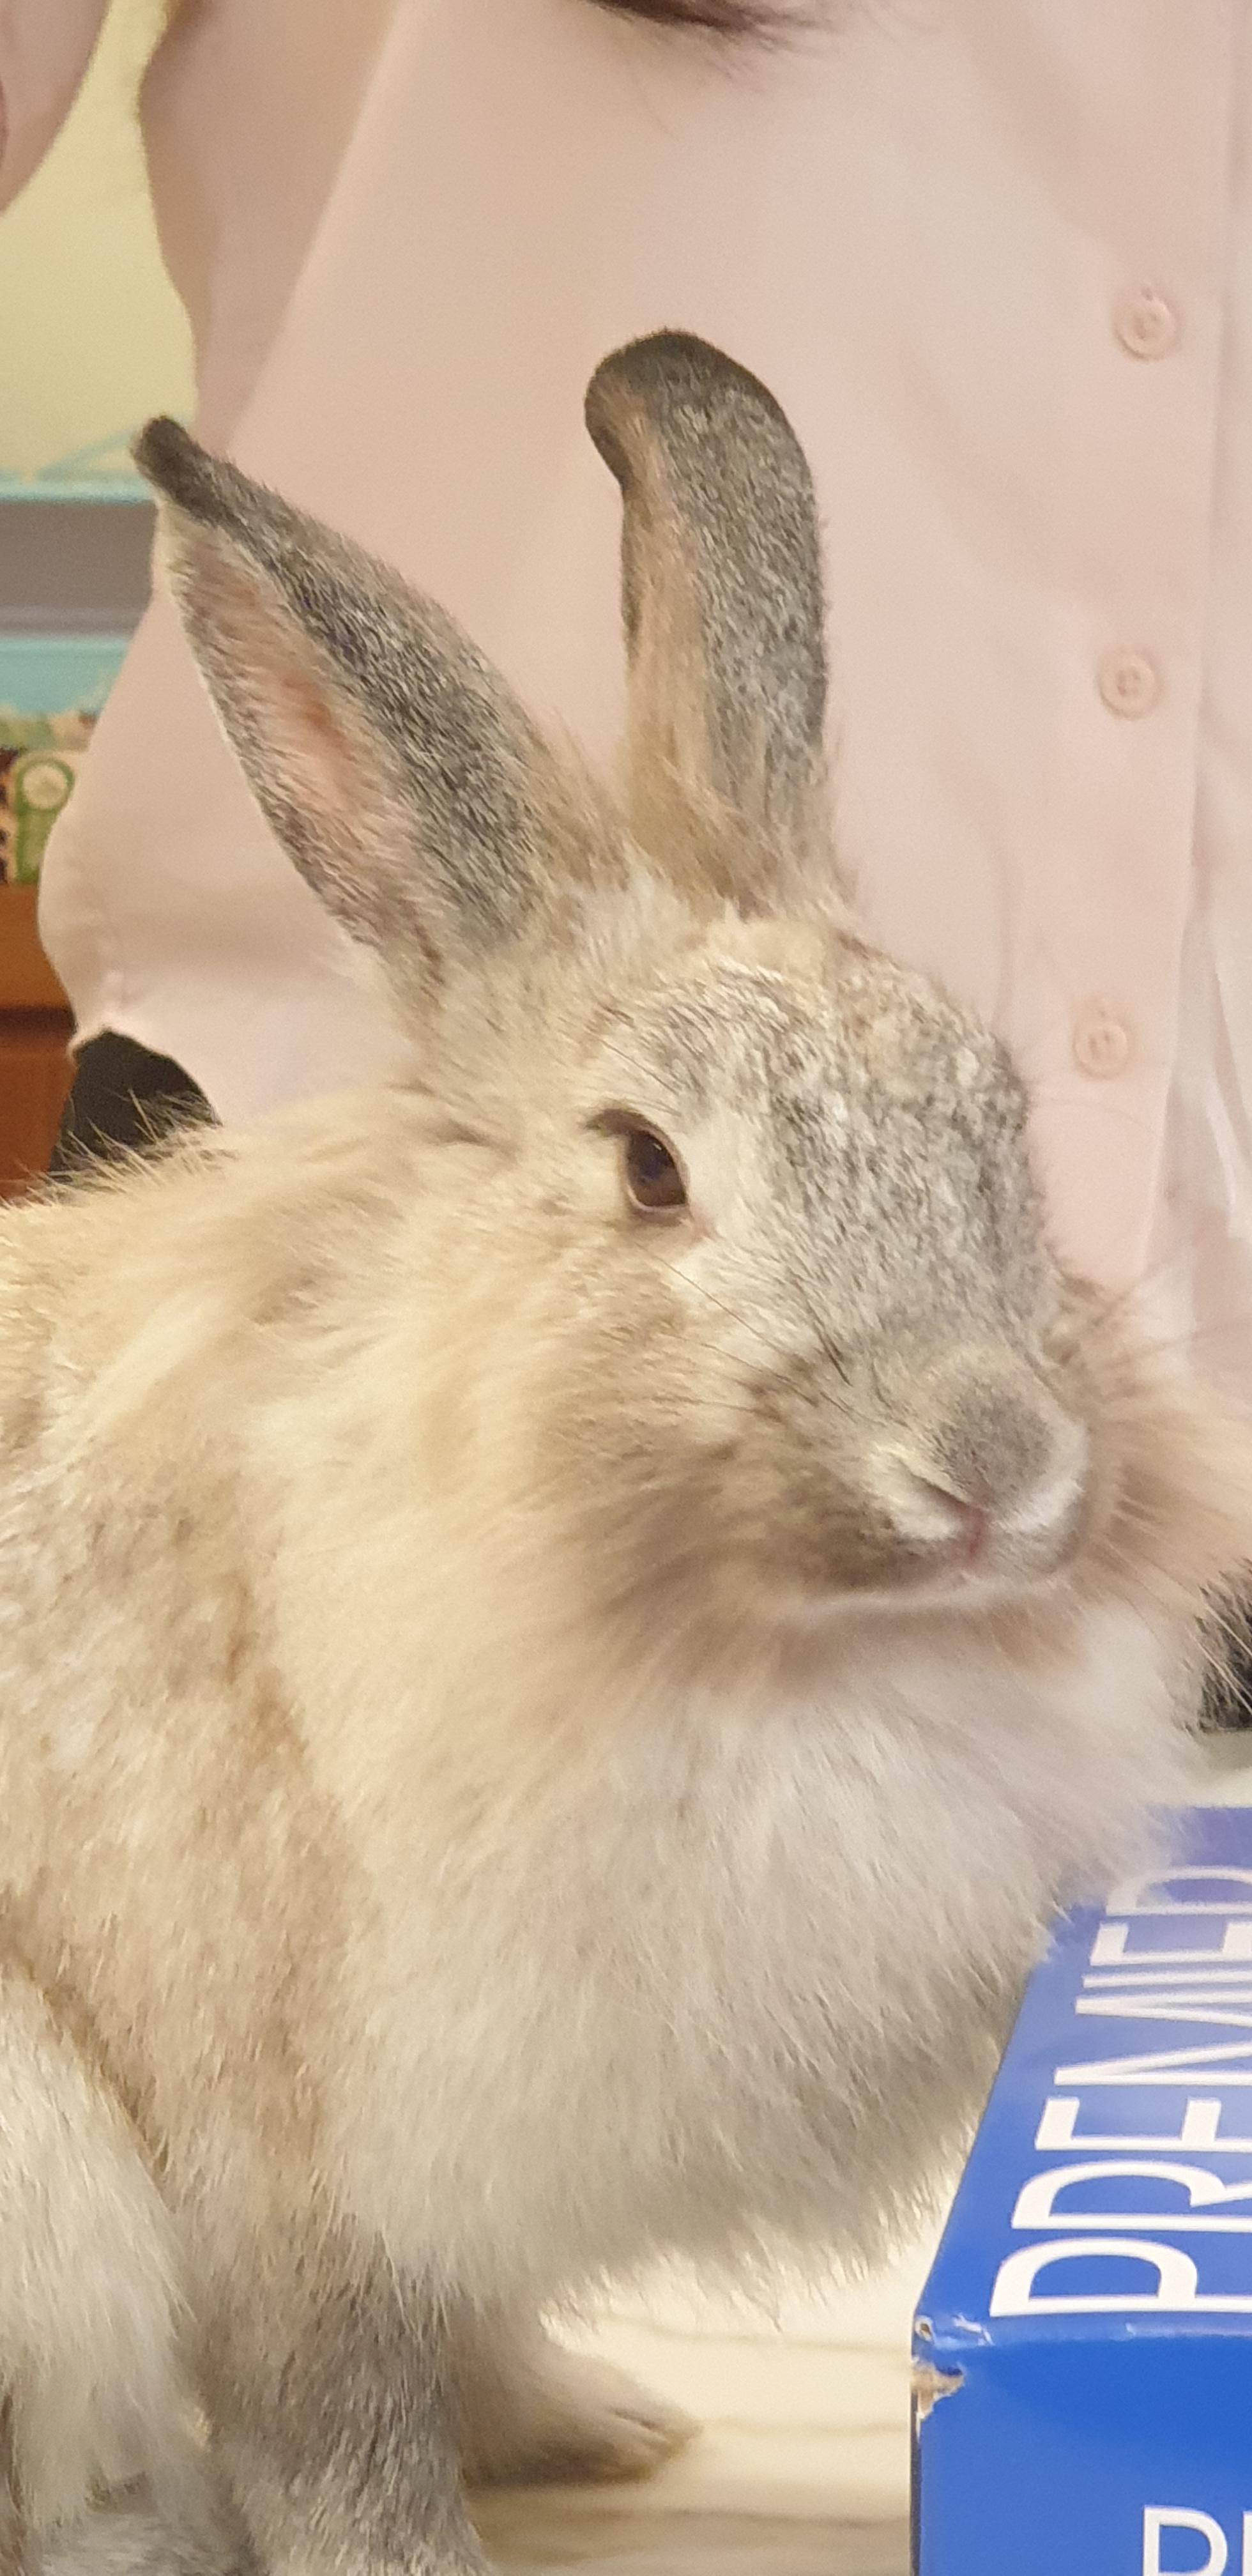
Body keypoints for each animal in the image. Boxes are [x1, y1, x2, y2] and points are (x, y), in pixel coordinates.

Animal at [2, 329, 1250, 2576]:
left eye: (997, 1114)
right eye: (651, 1173)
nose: (991, 1462)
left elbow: (472, 2347)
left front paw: (598, 2431)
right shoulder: (289, 2185)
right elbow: (338, 2433)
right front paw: (424, 2555)